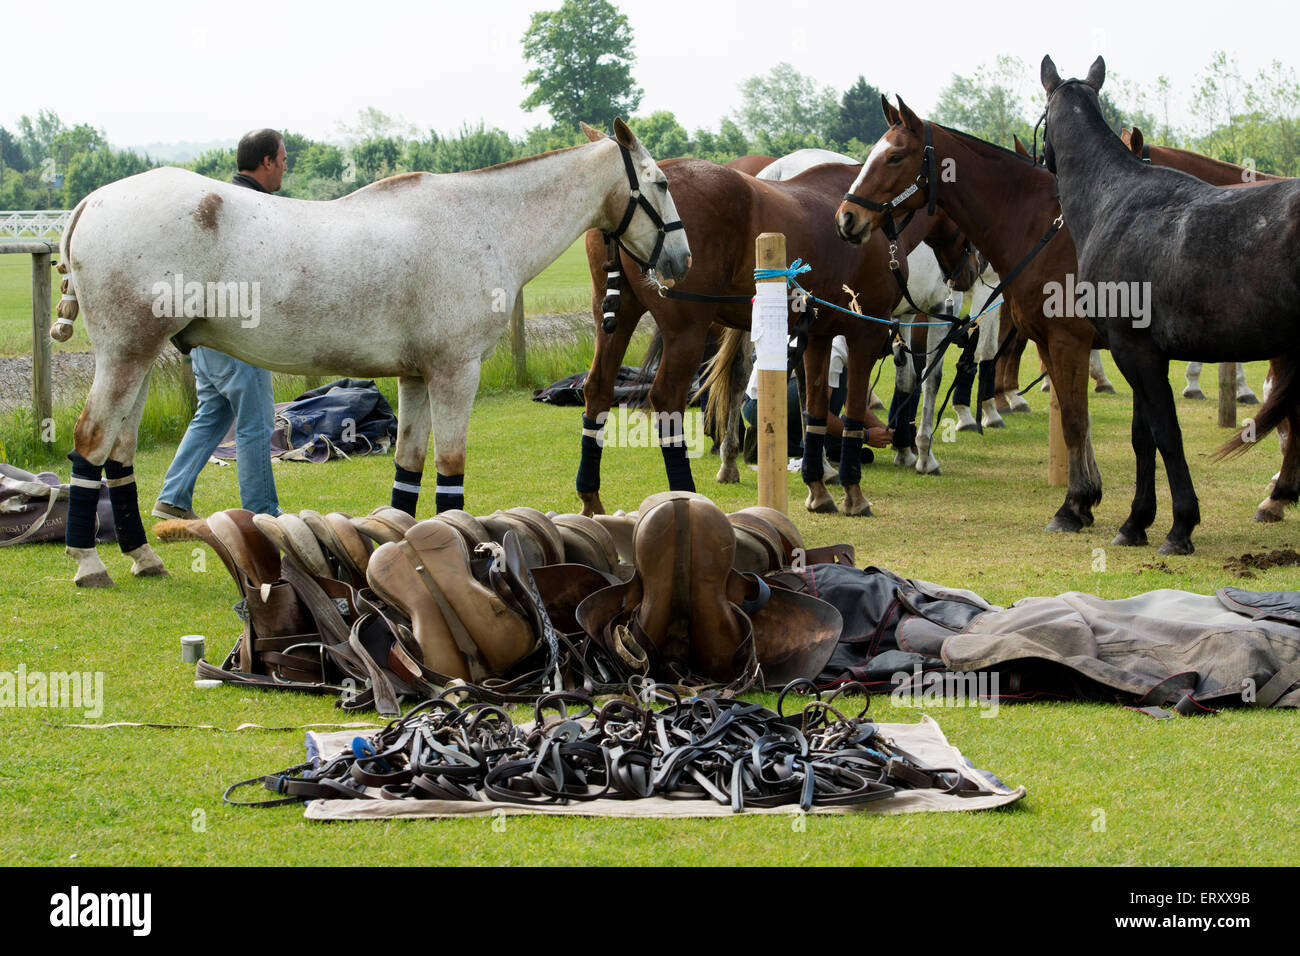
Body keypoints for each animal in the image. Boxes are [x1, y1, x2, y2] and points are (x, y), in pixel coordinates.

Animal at [53, 119, 690, 586]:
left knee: (118, 452)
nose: (681, 261)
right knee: (91, 441)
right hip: (125, 356)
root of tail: (90, 203)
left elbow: (408, 470)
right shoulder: (456, 371)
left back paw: (142, 556)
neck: (483, 222)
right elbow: (450, 469)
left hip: (138, 358)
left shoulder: (416, 377)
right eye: (661, 182)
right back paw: (88, 561)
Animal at [576, 158, 979, 518]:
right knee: (667, 398)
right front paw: (857, 490)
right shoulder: (866, 330)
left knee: (597, 389)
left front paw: (818, 487)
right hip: (687, 332)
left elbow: (814, 407)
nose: (973, 270)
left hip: (617, 319)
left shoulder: (818, 335)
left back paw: (591, 498)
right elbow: (858, 410)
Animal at [1038, 55, 1300, 553]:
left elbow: (1165, 433)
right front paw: (1135, 522)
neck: (1112, 198)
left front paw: (1180, 526)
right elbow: (1143, 437)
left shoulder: (1133, 350)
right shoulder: (1143, 352)